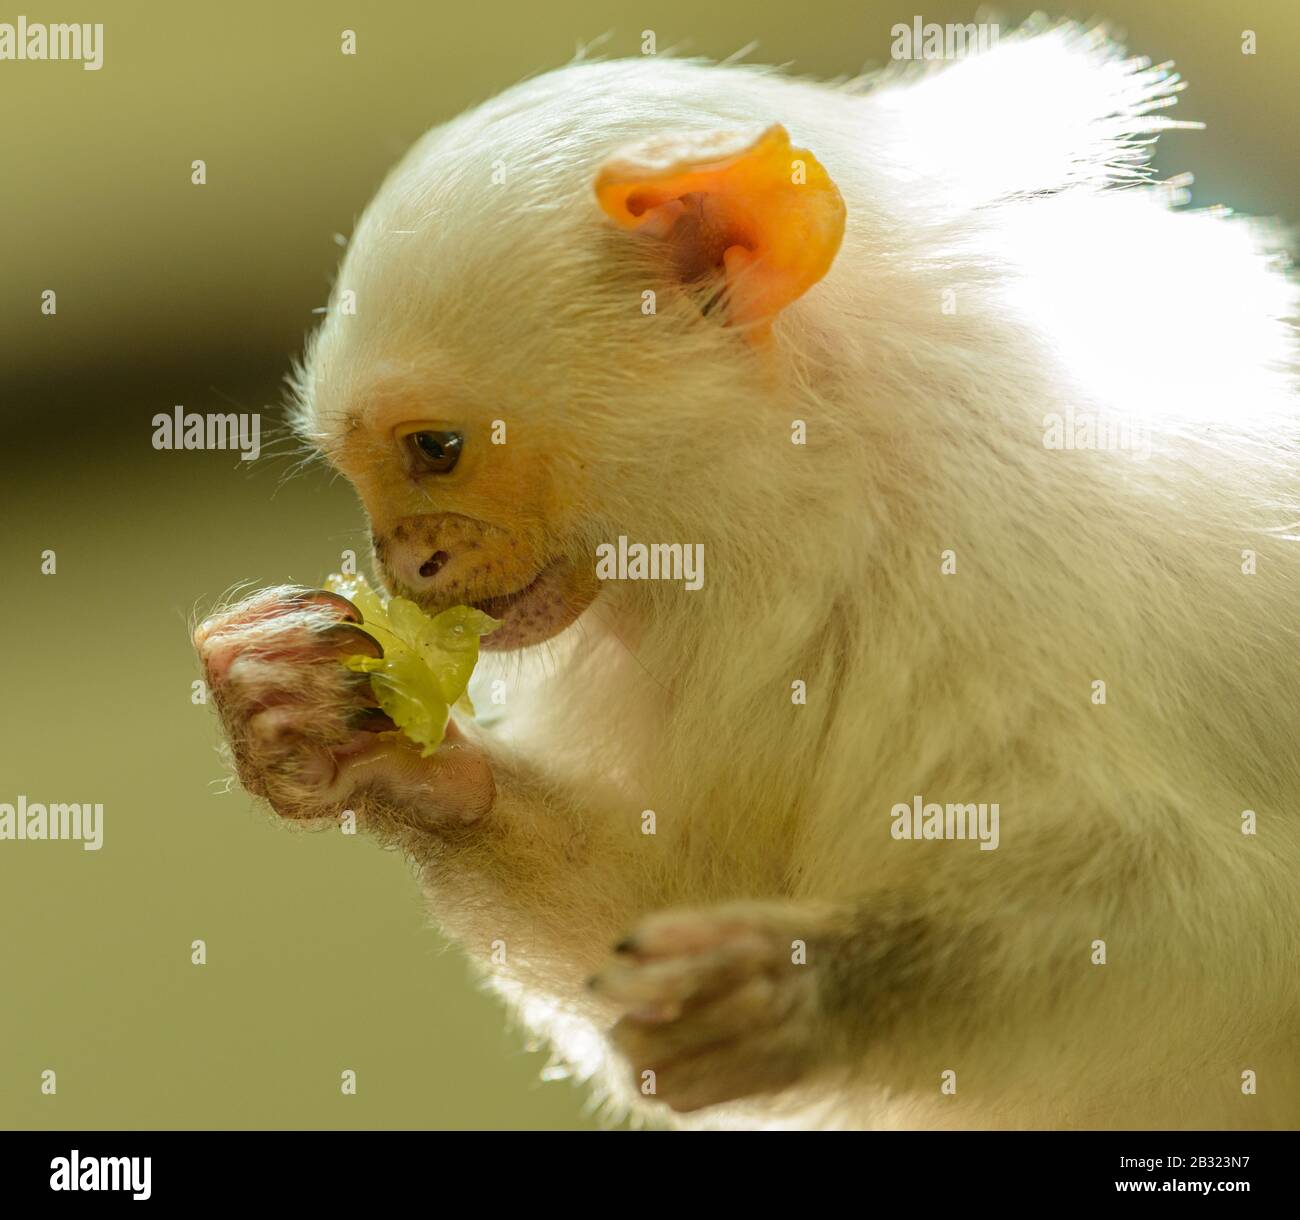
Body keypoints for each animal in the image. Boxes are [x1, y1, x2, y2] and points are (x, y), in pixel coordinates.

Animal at [193, 20, 1300, 1129]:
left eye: (436, 449)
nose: (404, 564)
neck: (846, 507)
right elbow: (658, 903)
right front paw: (341, 733)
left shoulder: (1036, 594)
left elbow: (1221, 930)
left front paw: (796, 985)